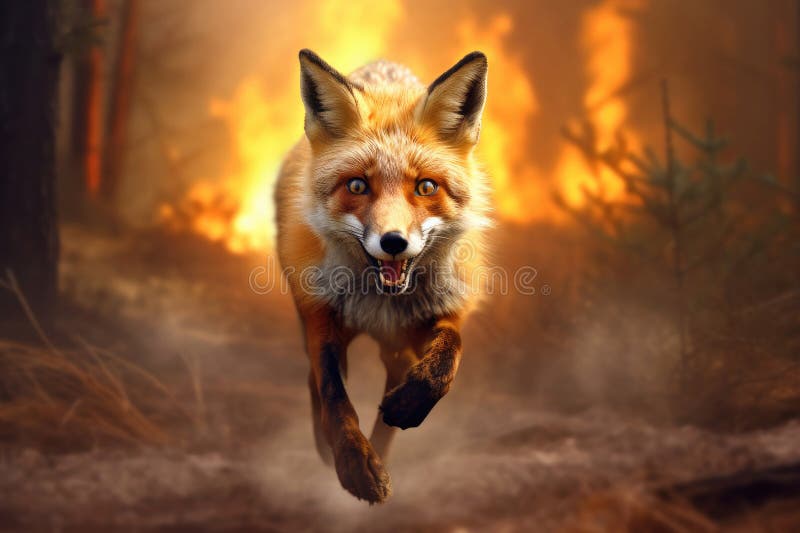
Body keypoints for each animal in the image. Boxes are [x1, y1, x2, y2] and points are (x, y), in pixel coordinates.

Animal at [274, 49, 491, 503]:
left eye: (426, 187)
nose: (393, 242)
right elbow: (333, 395)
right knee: (317, 379)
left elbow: (447, 357)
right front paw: (353, 464)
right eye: (357, 185)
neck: (382, 302)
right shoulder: (322, 317)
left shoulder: (445, 308)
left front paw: (406, 406)